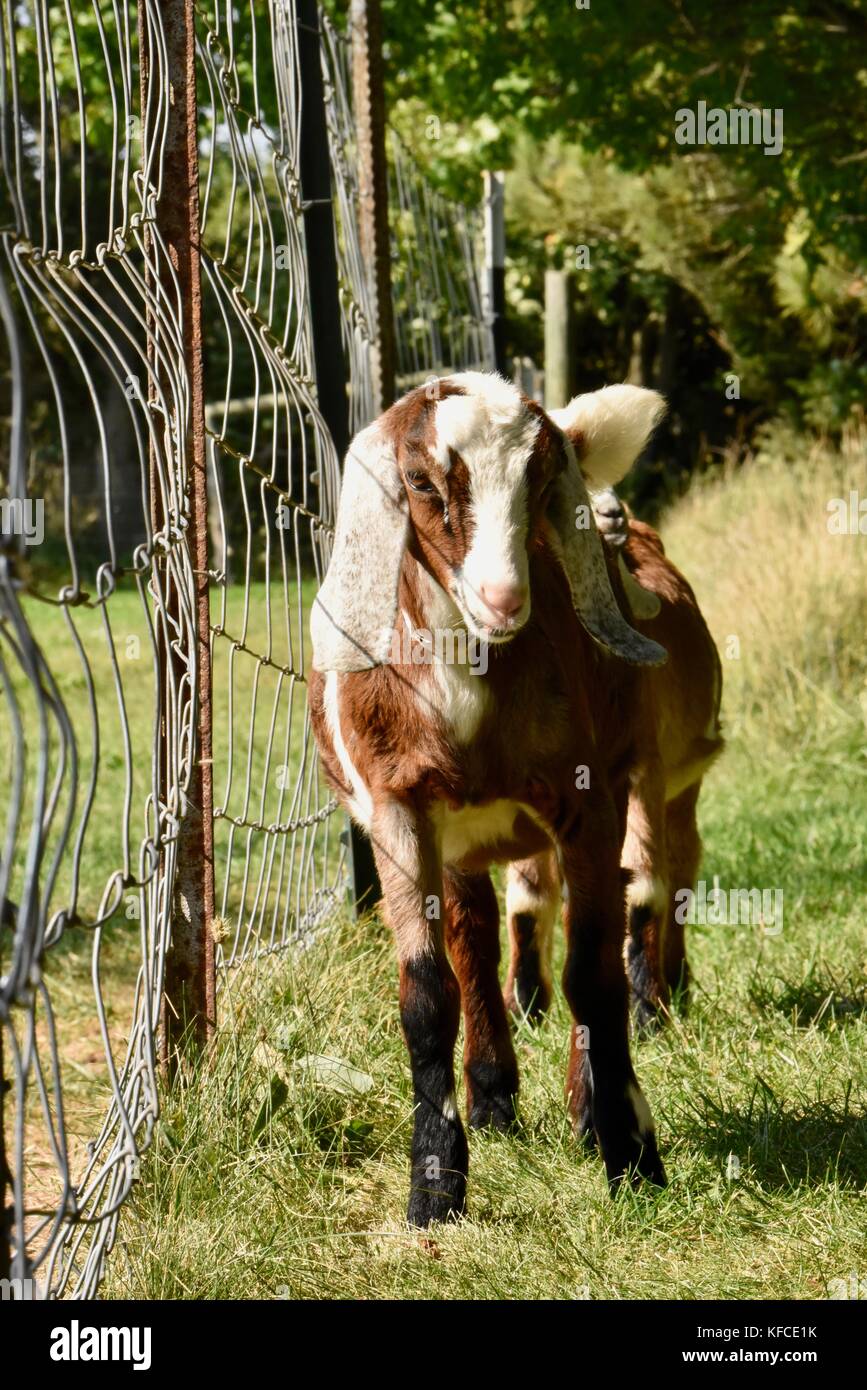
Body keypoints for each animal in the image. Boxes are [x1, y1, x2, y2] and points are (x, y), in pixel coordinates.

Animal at [309, 373, 669, 1226]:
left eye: (541, 480)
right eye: (417, 480)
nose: (503, 599)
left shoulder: (587, 804)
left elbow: (592, 978)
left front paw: (630, 1155)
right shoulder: (397, 815)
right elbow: (425, 995)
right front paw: (435, 1186)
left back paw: (583, 1110)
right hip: (459, 842)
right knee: (473, 940)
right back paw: (493, 1097)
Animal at [503, 456, 724, 1031]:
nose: (609, 514)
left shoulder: (644, 766)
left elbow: (643, 882)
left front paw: (647, 1013)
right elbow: (528, 897)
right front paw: (523, 1009)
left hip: (684, 782)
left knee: (682, 861)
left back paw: (676, 982)